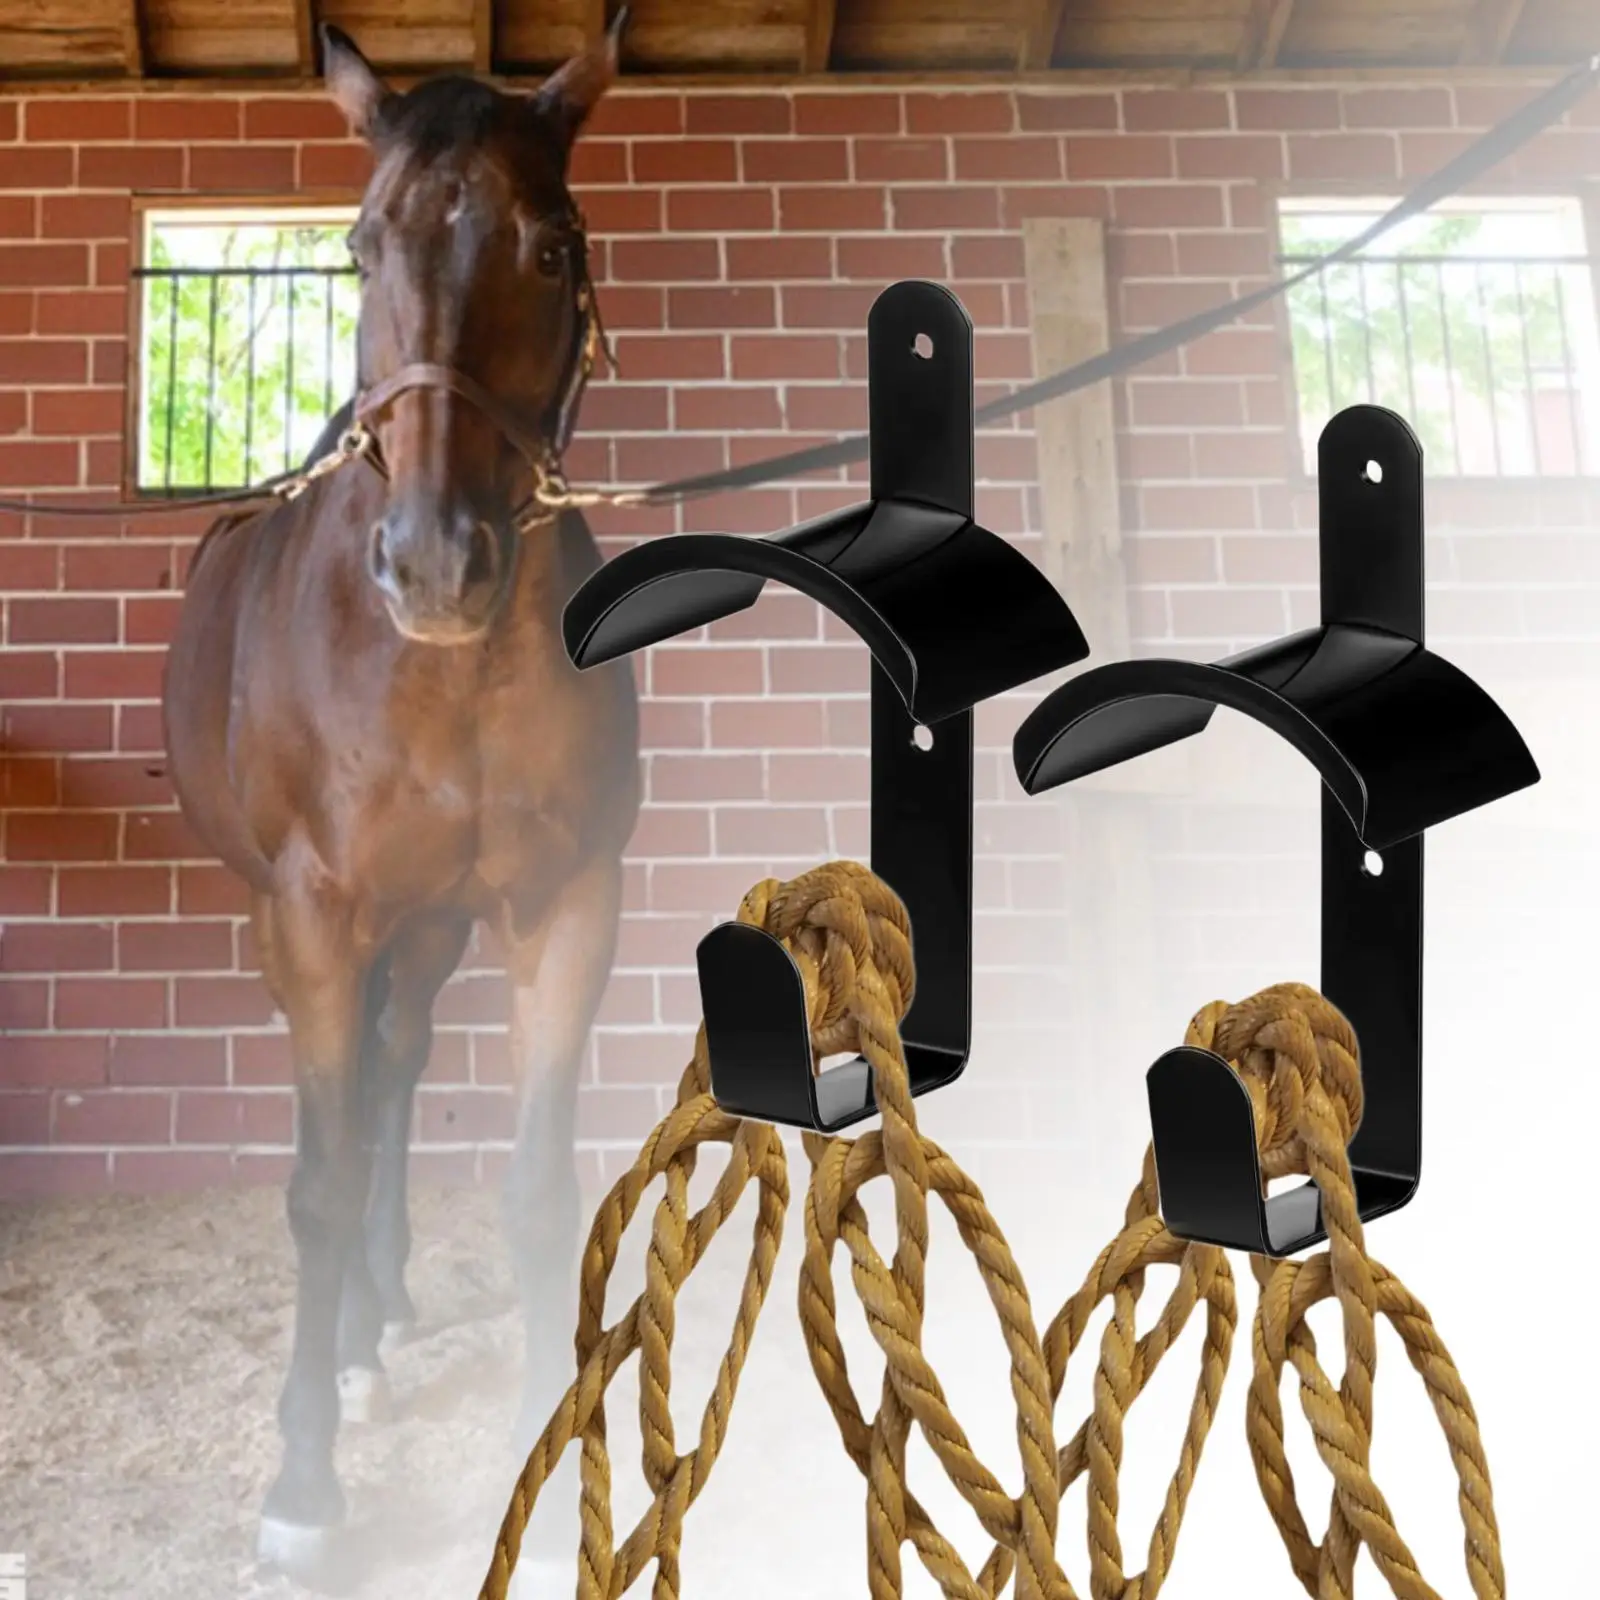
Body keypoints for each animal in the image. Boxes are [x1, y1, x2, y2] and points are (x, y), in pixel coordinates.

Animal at [160, 20, 640, 1583]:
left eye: (551, 249)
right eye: (363, 246)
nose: (435, 563)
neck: (443, 673)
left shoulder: (569, 907)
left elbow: (537, 1187)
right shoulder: (313, 916)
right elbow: (314, 1179)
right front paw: (304, 1488)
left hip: (430, 931)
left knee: (395, 1069)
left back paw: (376, 1322)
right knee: (362, 1096)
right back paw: (354, 1351)